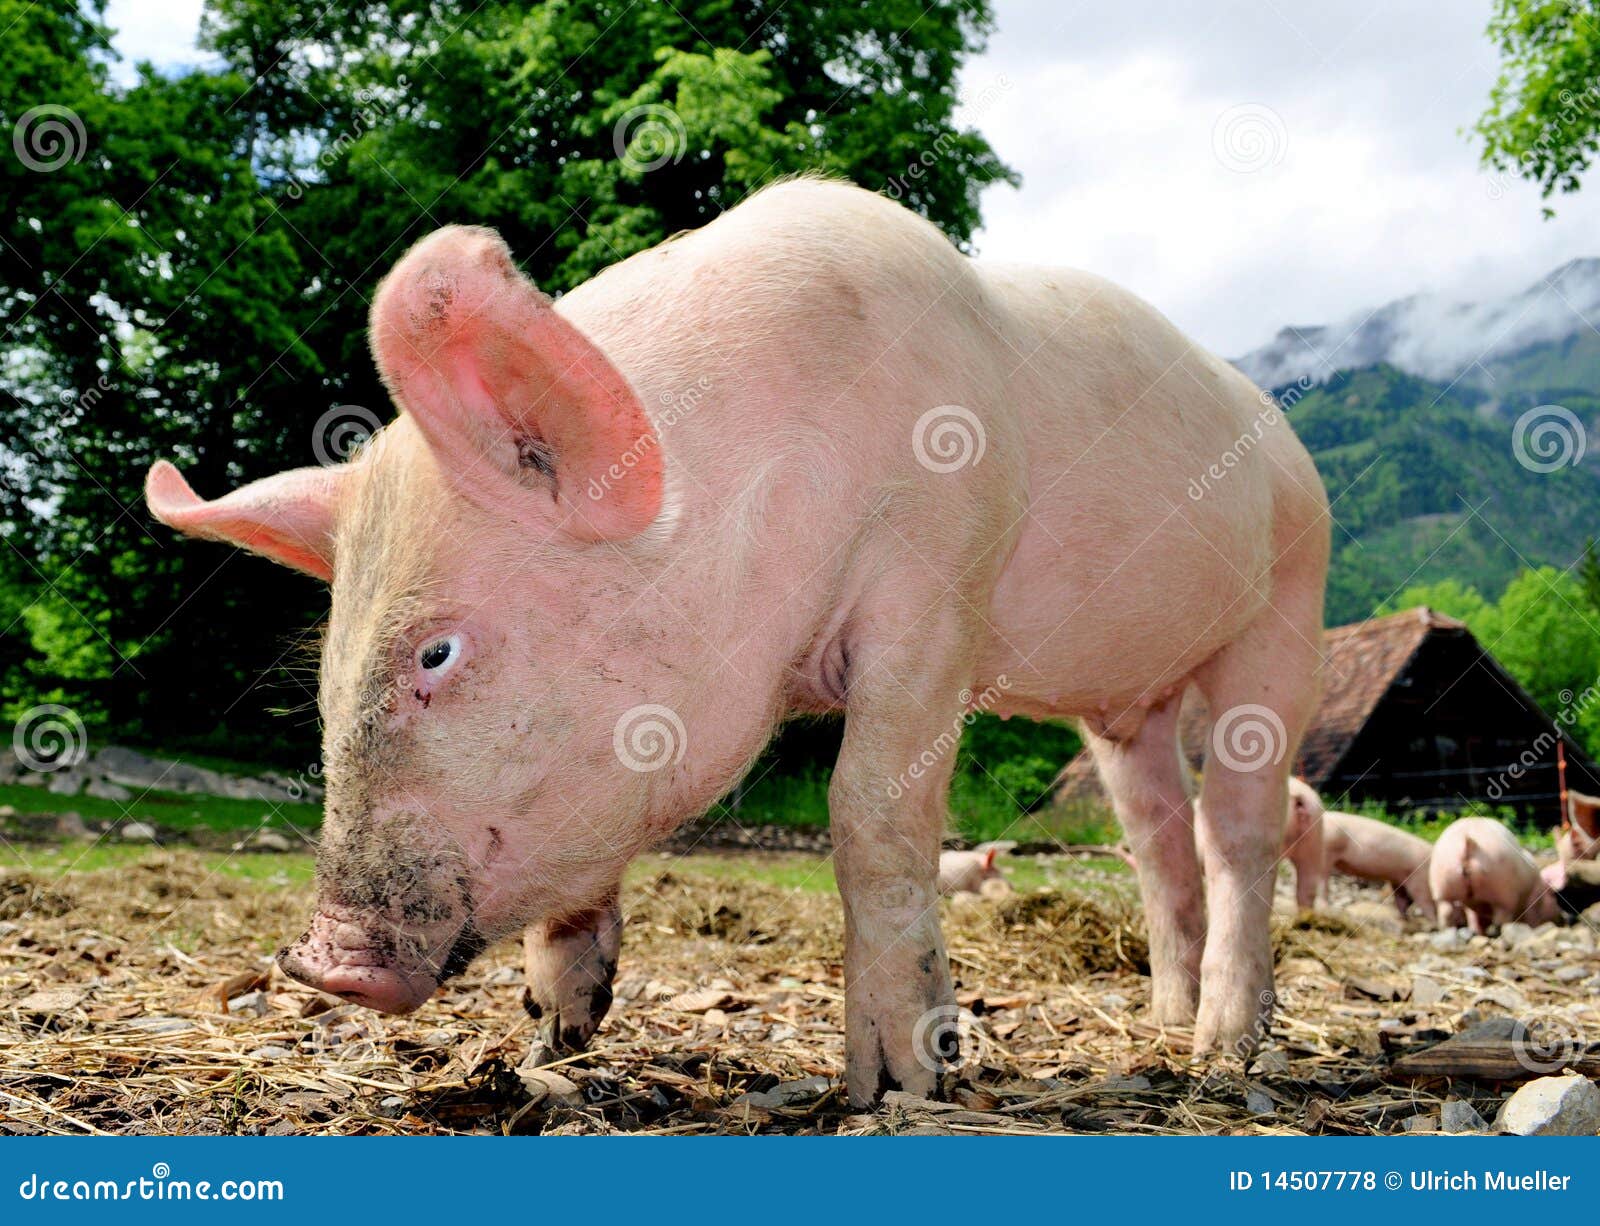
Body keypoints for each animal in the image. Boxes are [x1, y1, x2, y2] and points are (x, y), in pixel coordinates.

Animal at [144, 177, 1328, 1103]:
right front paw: (552, 1037)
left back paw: (1223, 1050)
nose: (322, 961)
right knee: (1153, 832)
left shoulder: (937, 578)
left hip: (1288, 596)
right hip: (1126, 705)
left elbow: (871, 811)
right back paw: (1166, 1018)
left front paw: (900, 1084)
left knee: (1237, 824)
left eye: (438, 652)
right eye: (328, 668)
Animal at [1428, 817, 1560, 933]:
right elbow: (1532, 918)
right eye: (1554, 897)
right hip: (1502, 892)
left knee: (1446, 912)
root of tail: (1469, 841)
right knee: (1501, 919)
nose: (1563, 917)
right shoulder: (1532, 900)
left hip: (1442, 884)